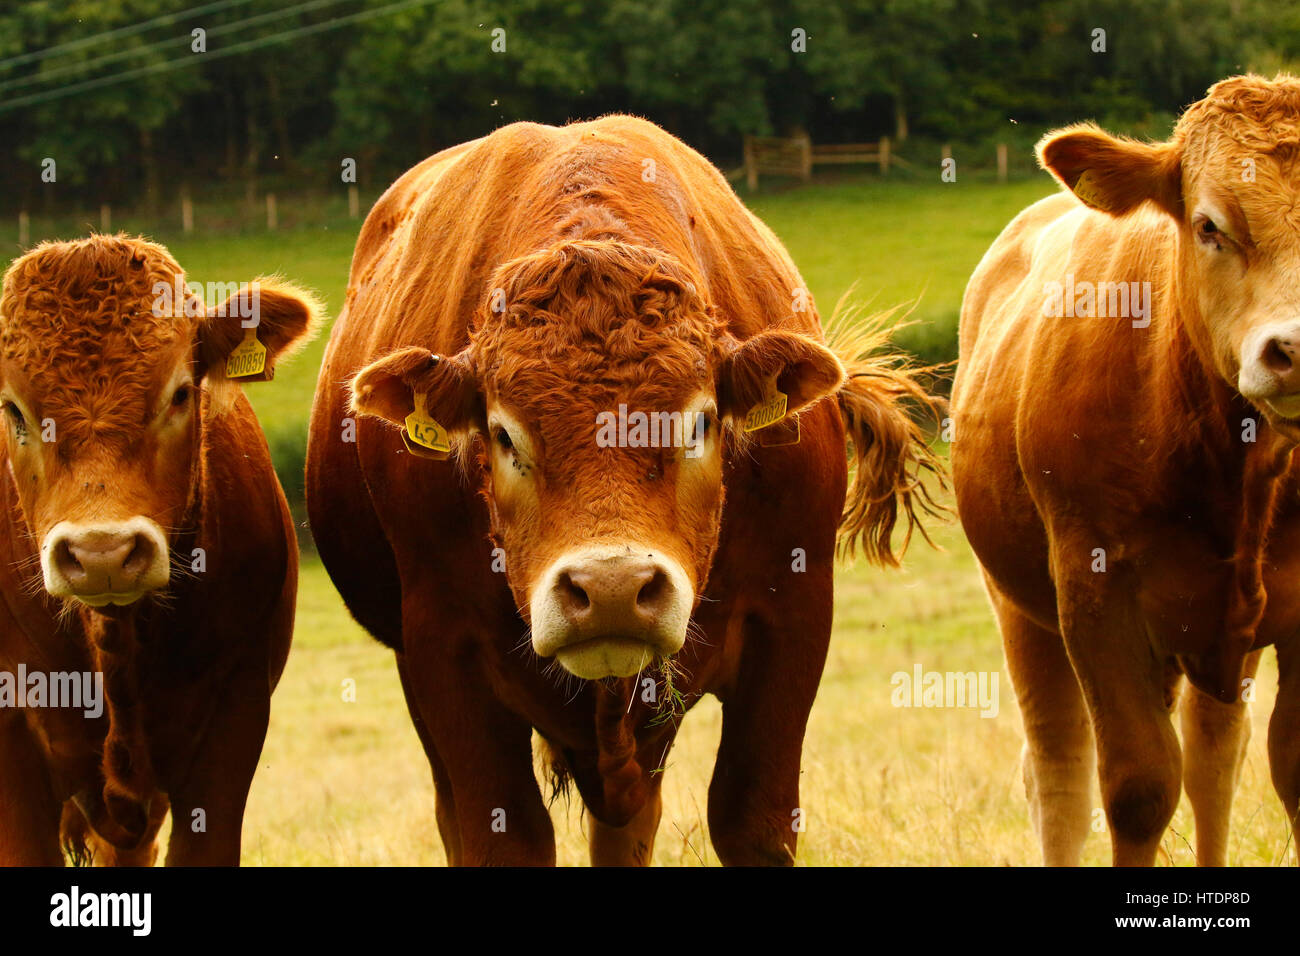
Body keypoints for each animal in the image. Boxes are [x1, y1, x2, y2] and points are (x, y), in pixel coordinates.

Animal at [305, 115, 940, 866]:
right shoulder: (443, 649)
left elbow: (753, 819)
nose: (611, 588)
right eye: (503, 435)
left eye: (700, 423)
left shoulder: (793, 619)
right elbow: (499, 833)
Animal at [952, 74, 1300, 866]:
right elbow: (1138, 789)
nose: (1296, 348)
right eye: (1209, 226)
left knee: (1213, 758)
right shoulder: (1095, 594)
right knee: (1058, 770)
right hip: (1020, 607)